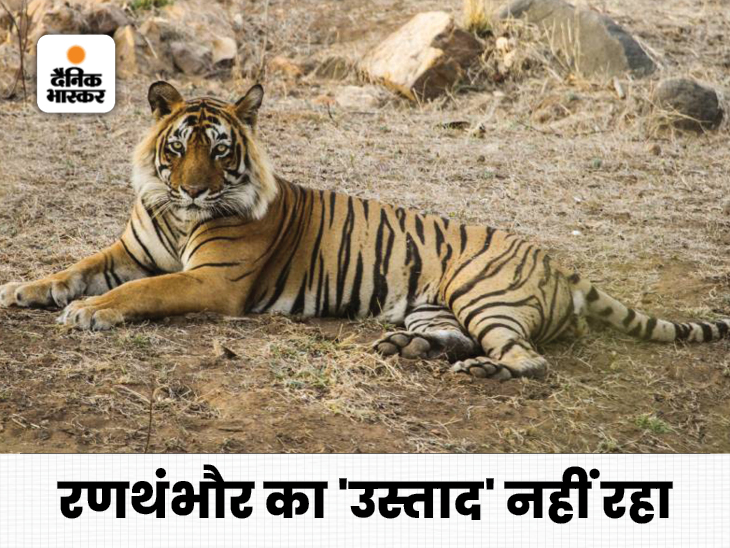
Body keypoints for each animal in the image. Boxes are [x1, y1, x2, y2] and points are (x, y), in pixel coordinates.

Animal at [1, 81, 728, 381]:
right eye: (178, 148)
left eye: (220, 150)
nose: (195, 188)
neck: (176, 215)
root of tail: (560, 263)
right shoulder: (129, 249)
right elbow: (73, 269)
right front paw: (21, 288)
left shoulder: (210, 281)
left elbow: (137, 293)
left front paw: (89, 313)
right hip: (437, 306)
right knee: (457, 339)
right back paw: (402, 349)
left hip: (483, 293)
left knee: (527, 359)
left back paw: (483, 373)